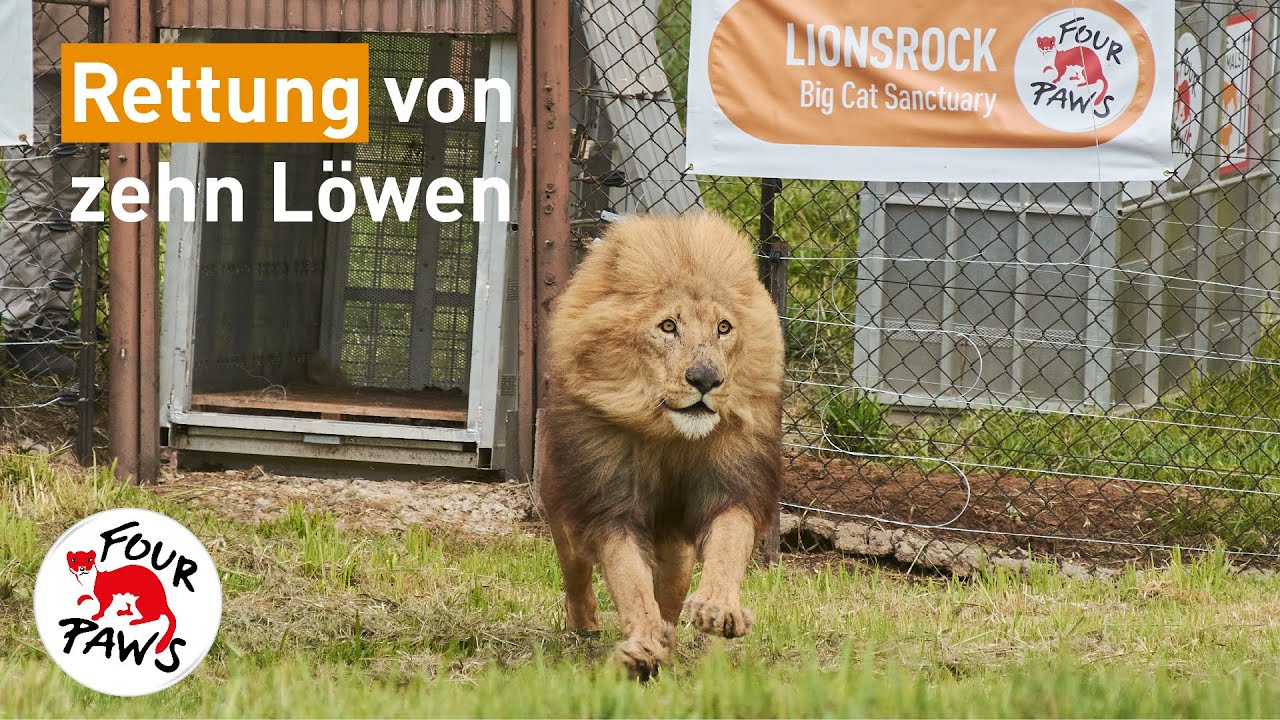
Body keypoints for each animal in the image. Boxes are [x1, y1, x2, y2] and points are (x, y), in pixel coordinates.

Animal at [537, 212, 785, 681]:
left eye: (723, 328)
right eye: (668, 326)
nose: (706, 379)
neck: (671, 435)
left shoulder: (731, 484)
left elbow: (729, 543)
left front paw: (718, 610)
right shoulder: (610, 500)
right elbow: (628, 578)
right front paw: (642, 648)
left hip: (676, 544)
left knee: (670, 590)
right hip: (566, 508)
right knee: (575, 570)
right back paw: (585, 623)